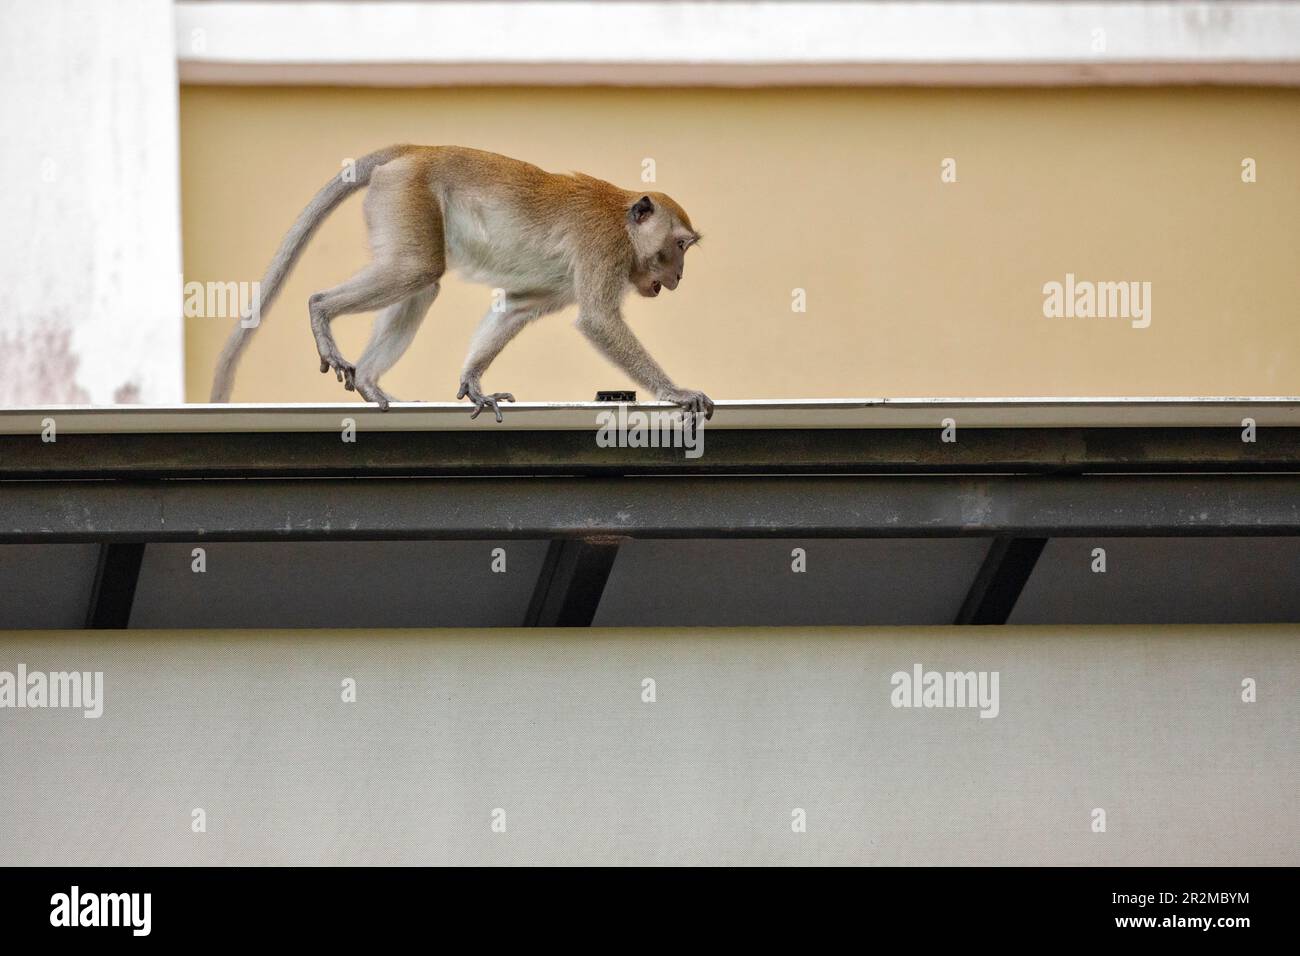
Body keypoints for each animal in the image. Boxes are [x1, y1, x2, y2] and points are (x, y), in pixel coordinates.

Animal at [210, 145, 712, 422]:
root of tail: (419, 150)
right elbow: (599, 321)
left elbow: (517, 307)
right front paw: (676, 393)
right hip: (407, 193)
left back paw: (370, 382)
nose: (680, 276)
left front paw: (474, 383)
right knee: (417, 270)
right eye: (679, 245)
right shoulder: (601, 248)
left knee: (421, 282)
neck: (623, 221)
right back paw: (320, 310)